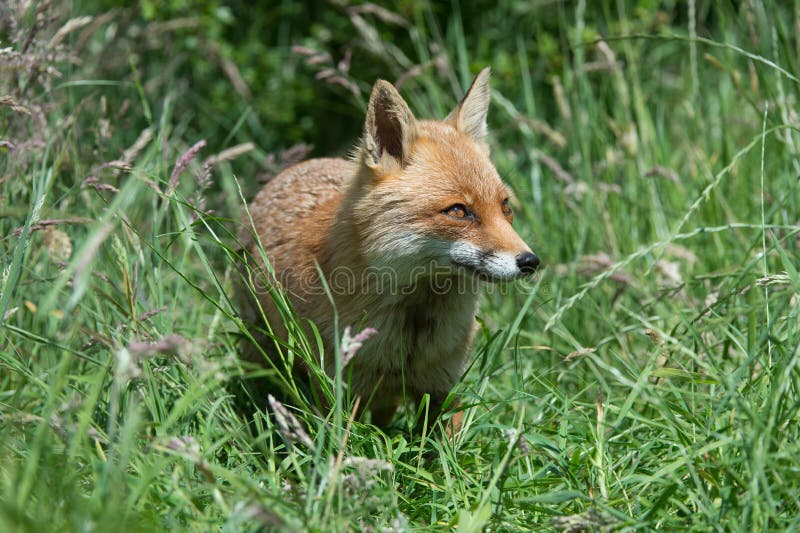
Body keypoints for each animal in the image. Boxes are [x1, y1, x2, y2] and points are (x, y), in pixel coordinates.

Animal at [238, 68, 539, 433]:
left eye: (505, 207)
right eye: (458, 211)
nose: (530, 261)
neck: (412, 328)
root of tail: (297, 167)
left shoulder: (443, 387)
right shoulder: (338, 391)